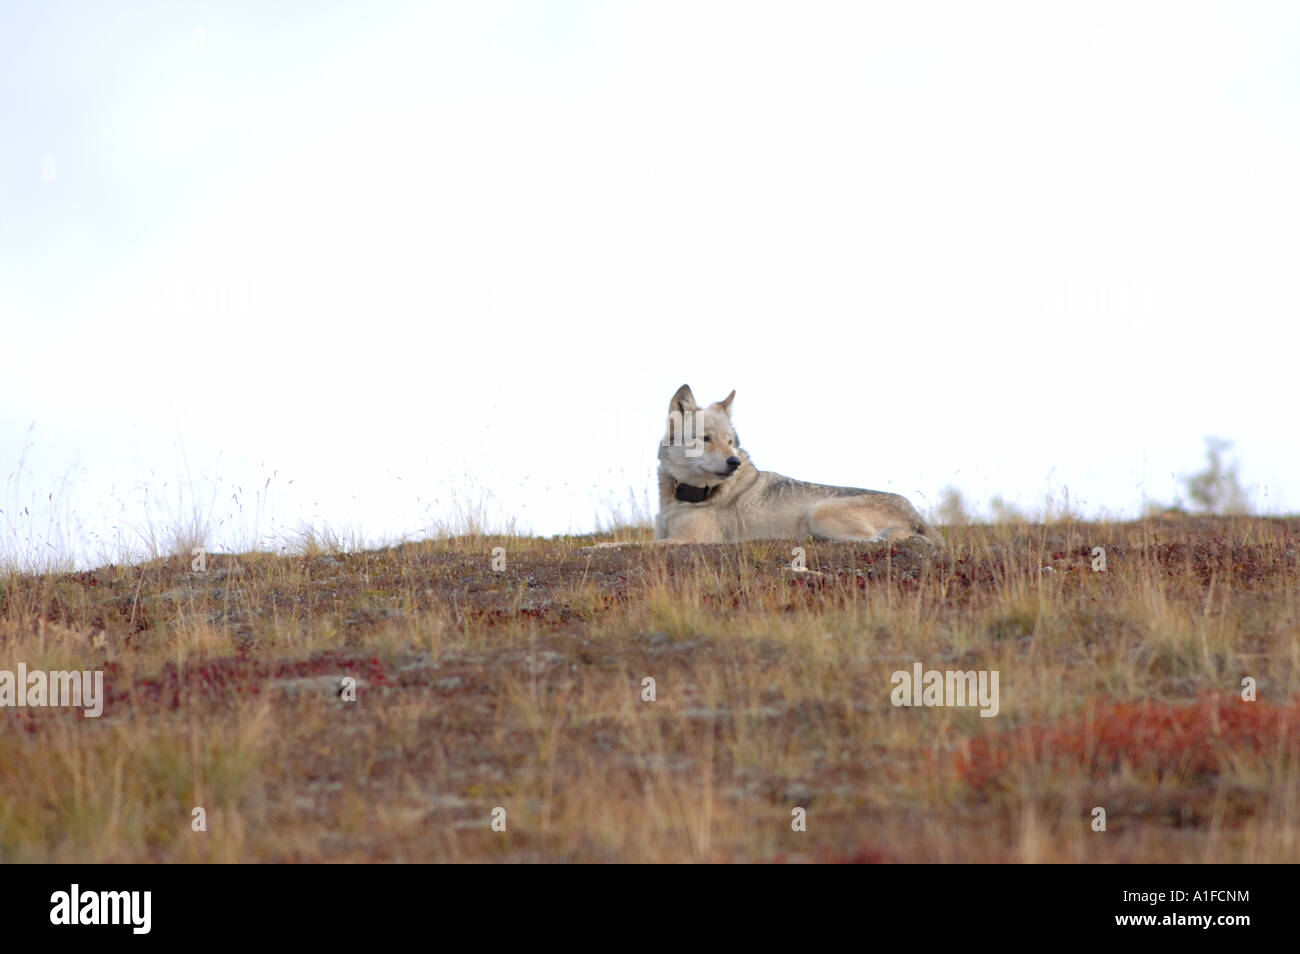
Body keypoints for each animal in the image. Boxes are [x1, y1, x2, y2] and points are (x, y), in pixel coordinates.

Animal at [652, 384, 942, 546]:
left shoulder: (685, 539)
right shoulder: (663, 534)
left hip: (818, 512)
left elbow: (637, 543)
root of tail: (916, 513)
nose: (734, 462)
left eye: (730, 441)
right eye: (706, 438)